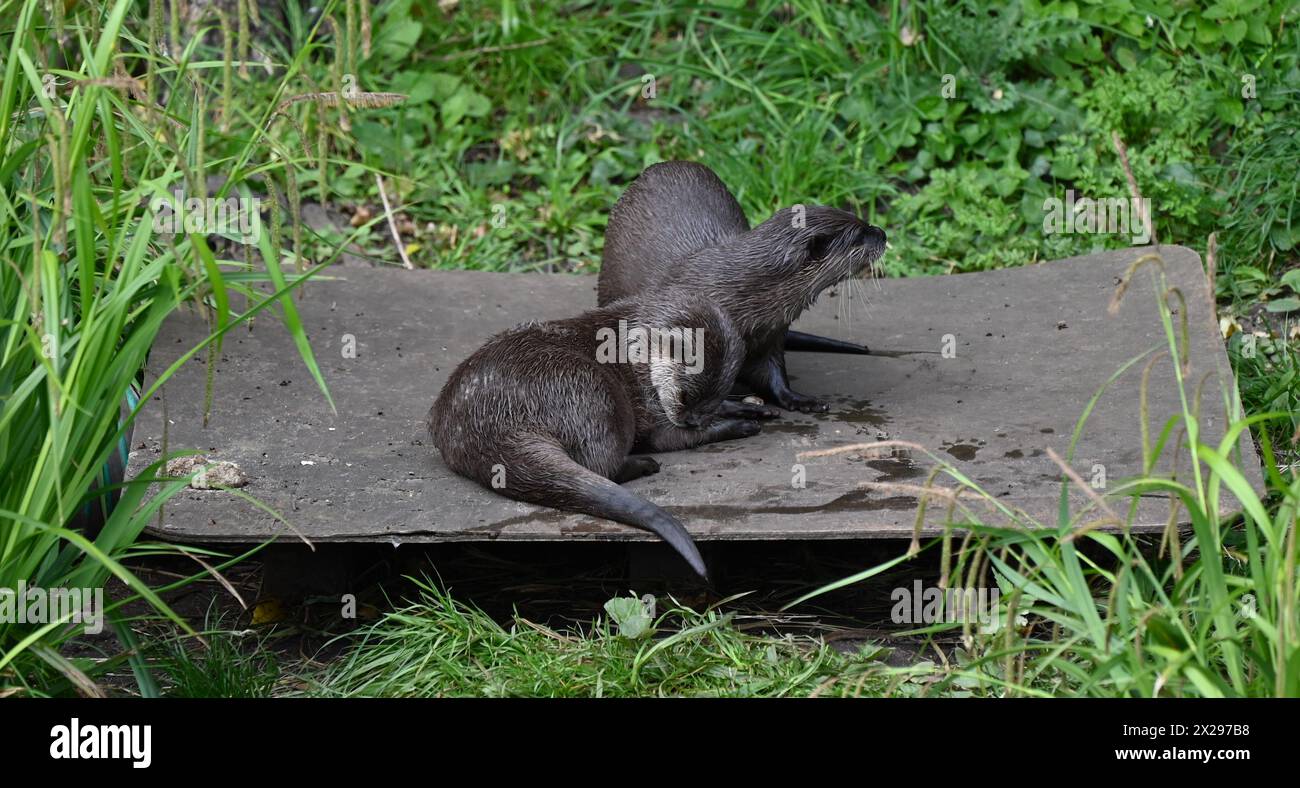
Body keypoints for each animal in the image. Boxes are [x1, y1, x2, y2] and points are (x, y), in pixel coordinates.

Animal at [430, 288, 759, 579]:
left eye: (711, 402)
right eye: (684, 396)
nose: (691, 421)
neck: (633, 346)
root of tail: (493, 421)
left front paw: (746, 407)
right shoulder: (647, 400)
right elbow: (667, 437)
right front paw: (739, 425)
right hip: (592, 393)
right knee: (601, 464)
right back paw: (644, 464)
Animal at [599, 161, 887, 413]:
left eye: (862, 220)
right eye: (859, 235)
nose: (883, 233)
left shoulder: (772, 334)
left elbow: (772, 374)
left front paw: (800, 400)